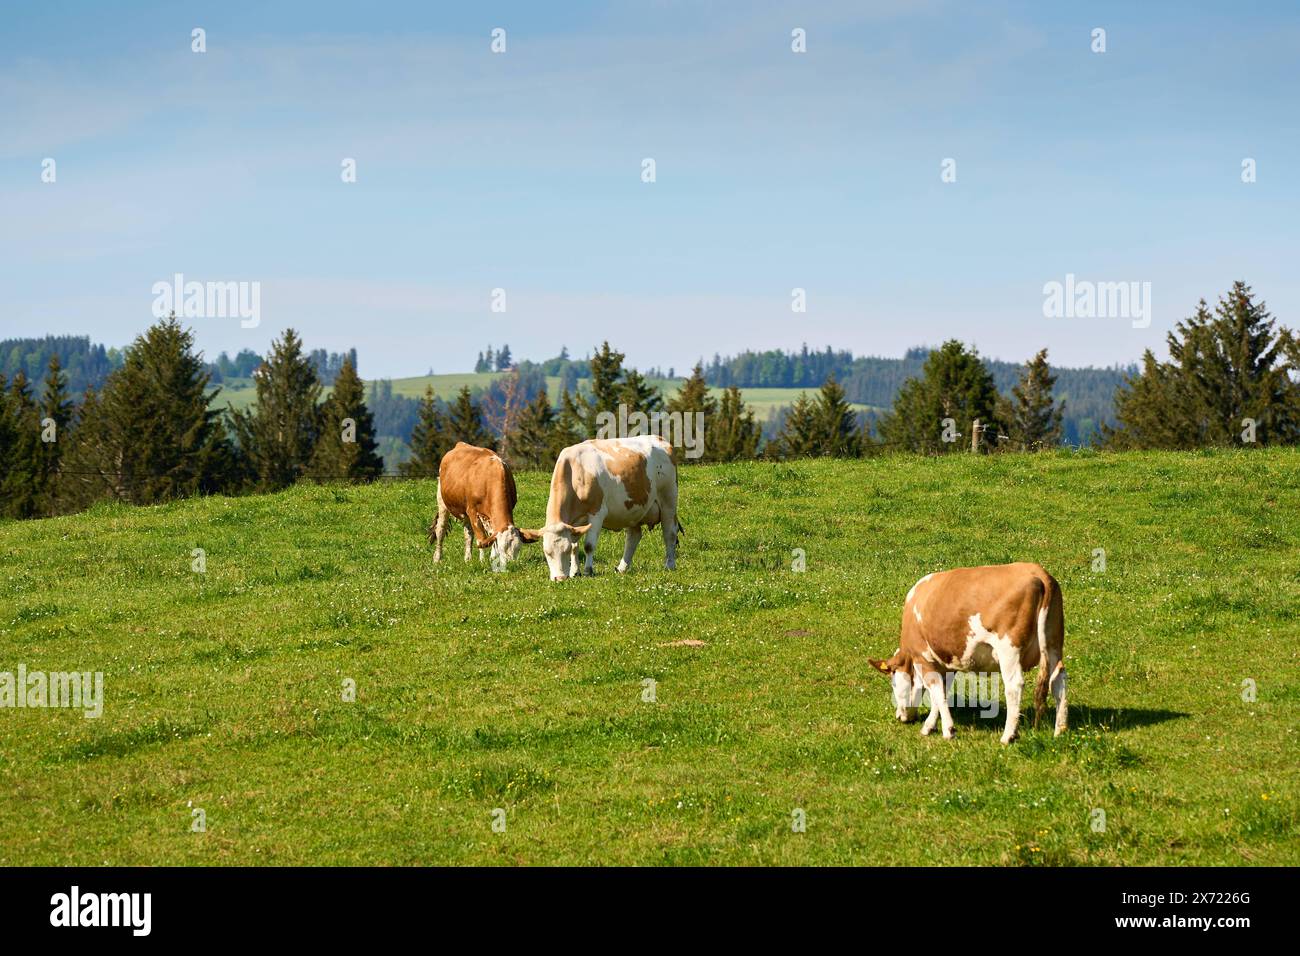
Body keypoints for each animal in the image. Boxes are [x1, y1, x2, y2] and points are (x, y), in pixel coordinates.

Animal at [524, 435, 679, 582]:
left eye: (565, 551)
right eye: (547, 552)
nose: (560, 578)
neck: (575, 472)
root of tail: (660, 439)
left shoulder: (597, 513)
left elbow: (588, 545)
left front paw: (588, 571)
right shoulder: (574, 524)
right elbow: (575, 546)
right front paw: (575, 572)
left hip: (668, 500)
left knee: (669, 533)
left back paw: (669, 565)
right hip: (633, 510)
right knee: (633, 537)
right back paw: (622, 568)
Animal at [869, 562, 1066, 744]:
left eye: (893, 683)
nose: (899, 716)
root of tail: (1037, 571)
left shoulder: (922, 656)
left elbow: (936, 690)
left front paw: (948, 730)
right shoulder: (946, 663)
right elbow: (941, 691)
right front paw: (930, 725)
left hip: (1008, 649)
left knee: (1014, 685)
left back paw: (1008, 735)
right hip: (1054, 644)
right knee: (1058, 680)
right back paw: (1060, 731)